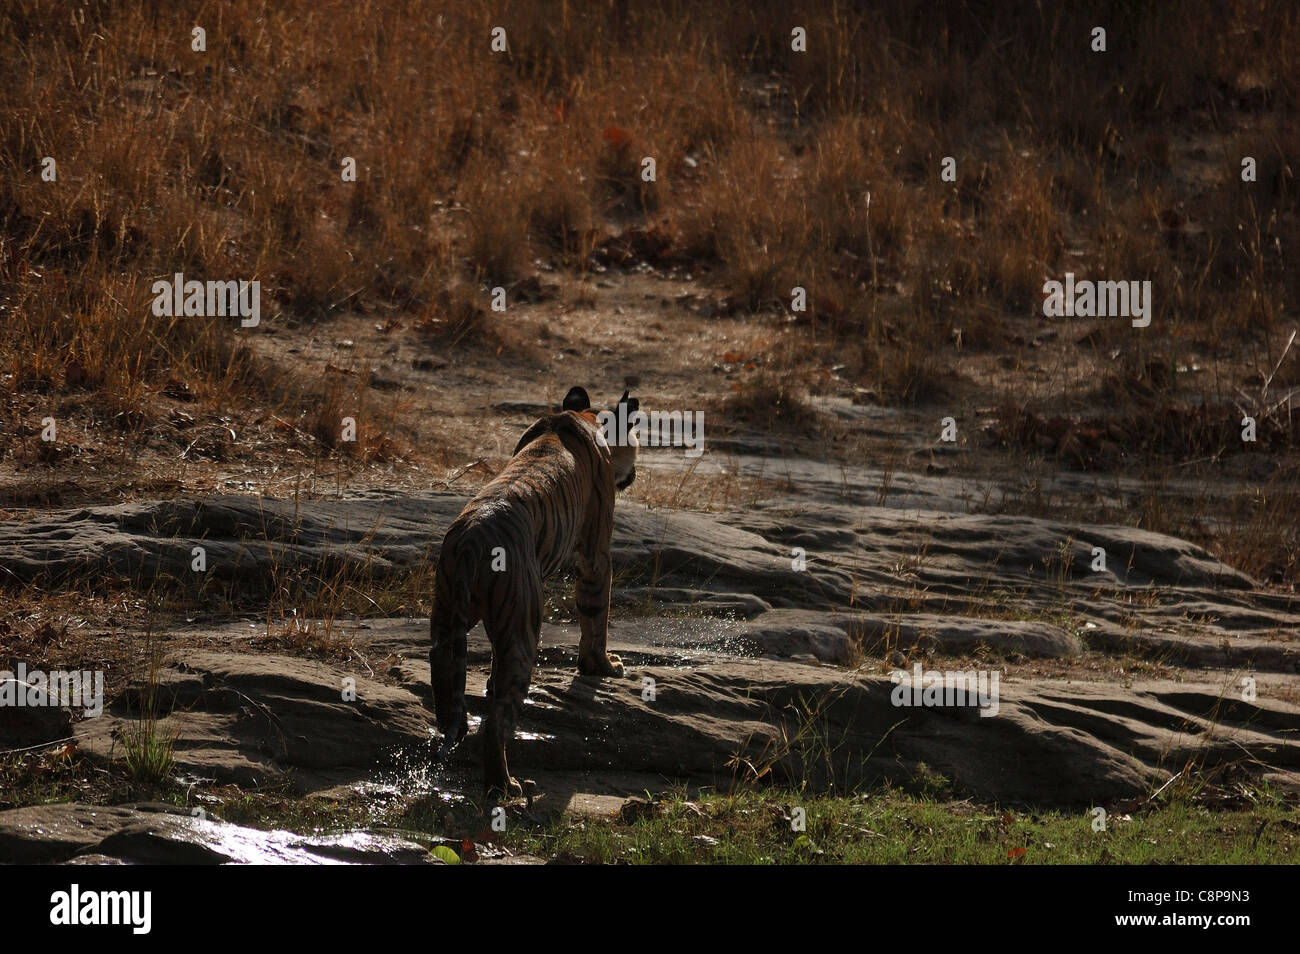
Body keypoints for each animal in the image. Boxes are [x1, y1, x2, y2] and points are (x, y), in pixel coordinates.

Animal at [429, 386, 639, 799]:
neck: (582, 416)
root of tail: (472, 540)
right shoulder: (596, 553)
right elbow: (597, 616)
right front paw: (605, 666)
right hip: (524, 629)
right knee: (498, 721)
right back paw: (507, 788)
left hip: (450, 615)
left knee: (446, 672)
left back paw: (453, 729)